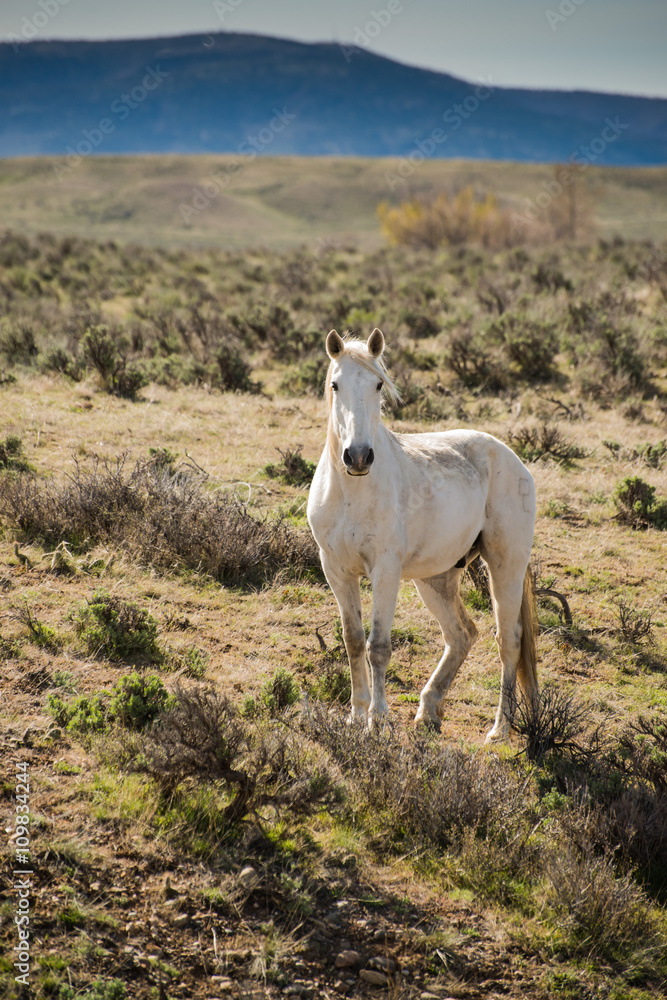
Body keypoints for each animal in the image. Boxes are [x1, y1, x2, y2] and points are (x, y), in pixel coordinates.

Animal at [306, 328, 538, 742]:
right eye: (335, 385)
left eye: (378, 384)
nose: (358, 456)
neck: (351, 492)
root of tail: (513, 459)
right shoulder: (335, 570)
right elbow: (353, 641)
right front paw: (356, 715)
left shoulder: (385, 571)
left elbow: (378, 646)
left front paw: (378, 719)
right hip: (437, 578)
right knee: (462, 634)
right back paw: (429, 709)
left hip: (505, 567)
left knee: (509, 640)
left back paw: (499, 729)